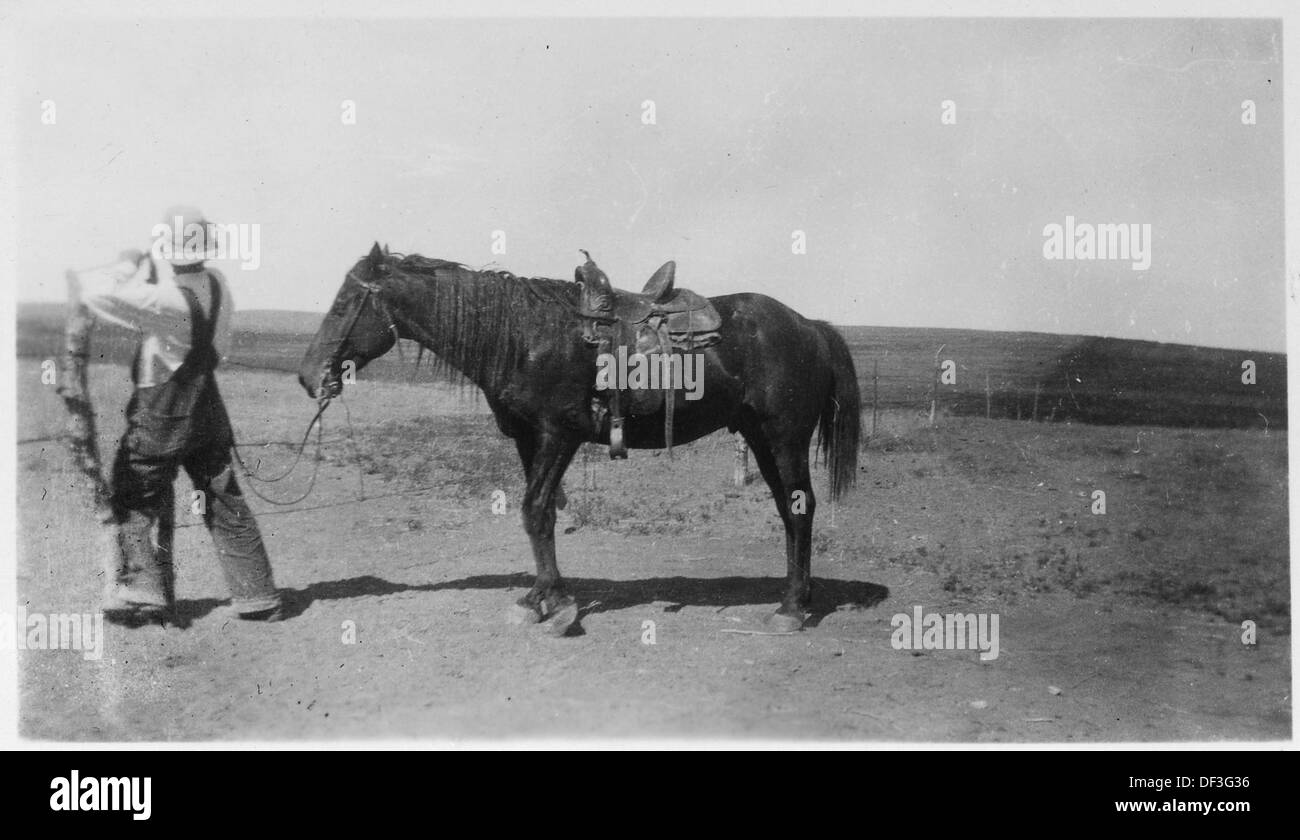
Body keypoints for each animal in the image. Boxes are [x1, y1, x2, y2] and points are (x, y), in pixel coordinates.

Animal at [299, 243, 861, 636]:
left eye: (346, 302)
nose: (309, 377)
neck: (525, 335)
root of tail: (810, 326)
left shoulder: (558, 434)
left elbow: (534, 509)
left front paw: (556, 607)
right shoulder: (528, 440)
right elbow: (541, 514)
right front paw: (542, 599)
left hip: (785, 438)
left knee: (800, 508)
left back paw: (791, 609)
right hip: (760, 439)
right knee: (789, 509)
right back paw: (796, 597)